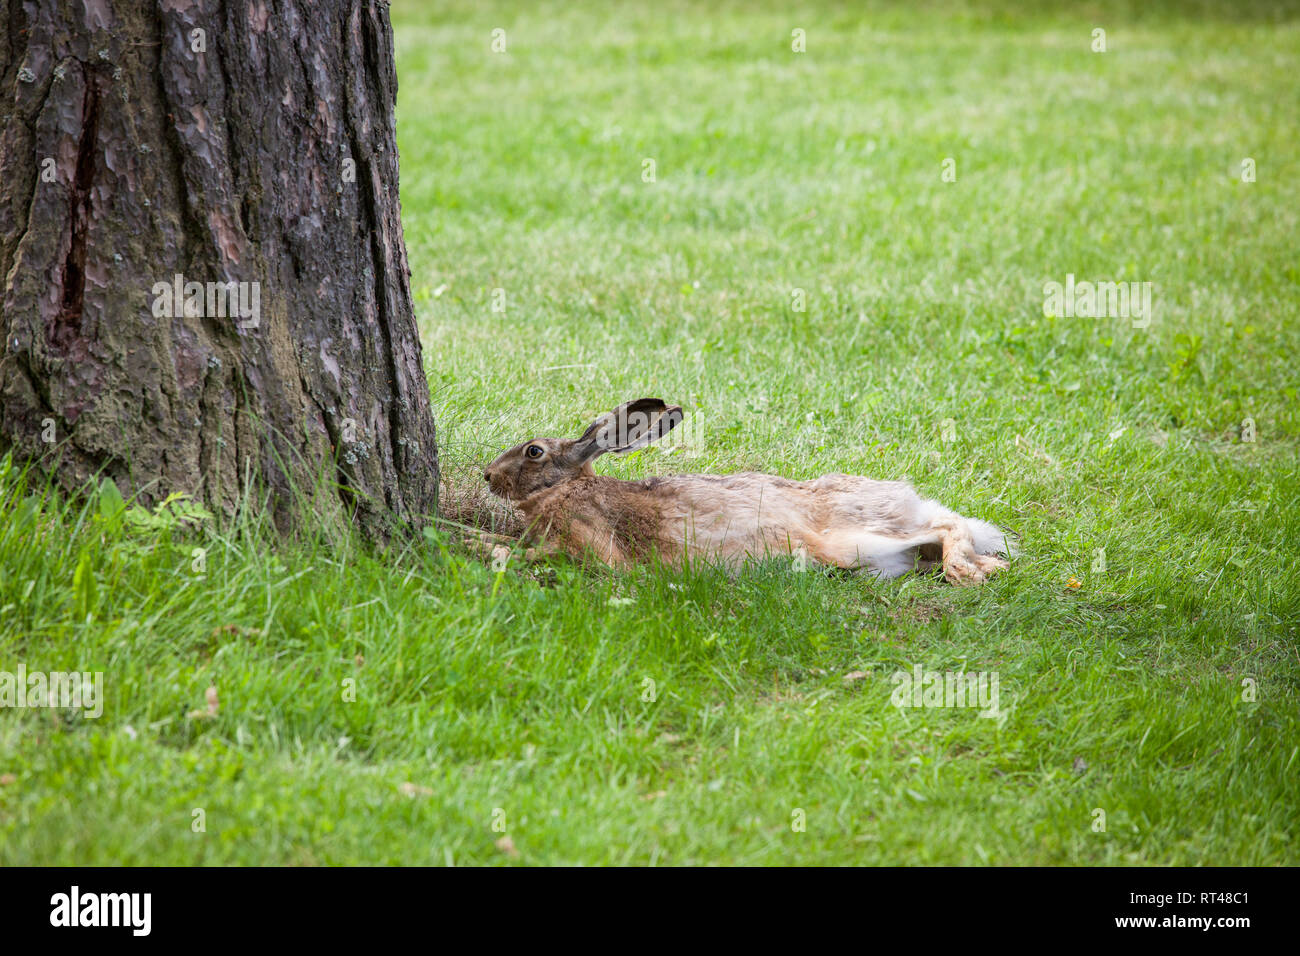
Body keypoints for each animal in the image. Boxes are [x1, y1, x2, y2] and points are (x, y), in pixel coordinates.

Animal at [478, 398, 1013, 584]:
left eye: (533, 452)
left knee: (946, 526)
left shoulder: (586, 544)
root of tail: (906, 499)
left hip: (851, 537)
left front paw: (489, 550)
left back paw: (969, 571)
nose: (487, 475)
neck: (563, 490)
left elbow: (538, 554)